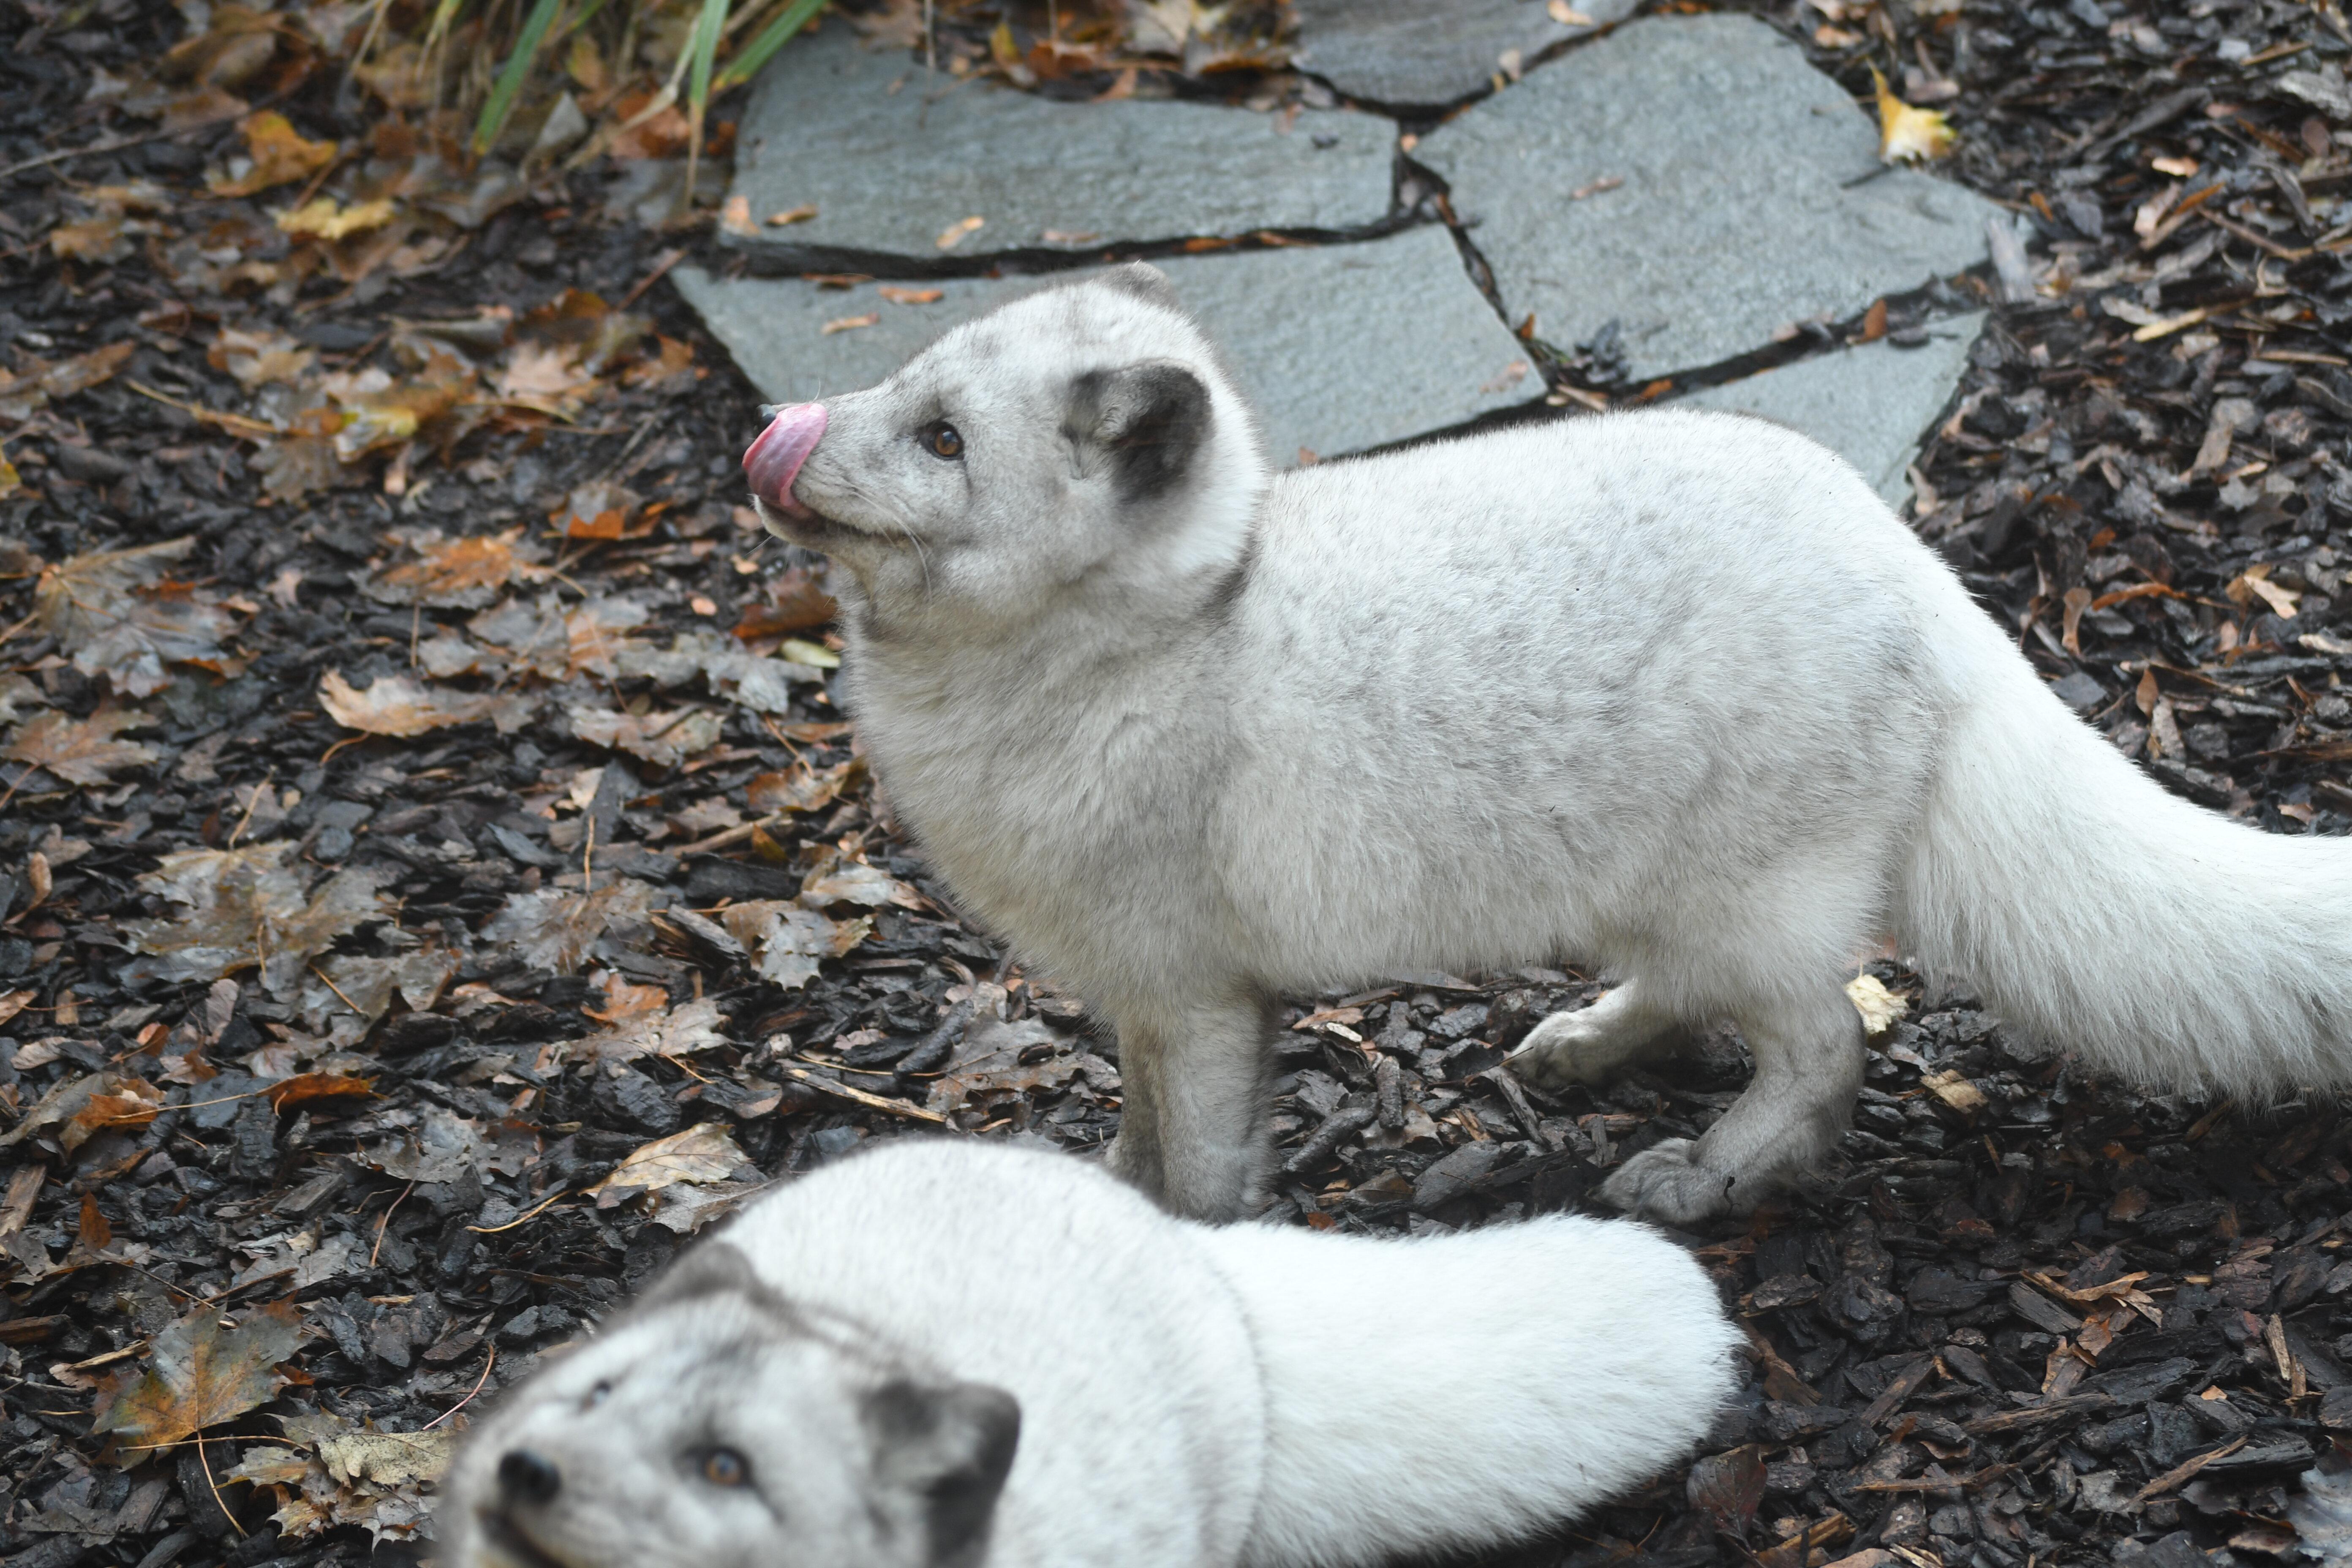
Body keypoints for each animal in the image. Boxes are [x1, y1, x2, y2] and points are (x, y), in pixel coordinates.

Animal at [741, 260, 2352, 1225]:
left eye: (943, 442)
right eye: (907, 387)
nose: (774, 429)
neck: (1172, 633)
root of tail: (1926, 579)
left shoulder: (1194, 993)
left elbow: (1196, 1174)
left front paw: (1182, 1258)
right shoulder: (1150, 1001)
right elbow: (1138, 1142)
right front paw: (1102, 1197)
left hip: (1746, 908)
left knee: (1826, 1047)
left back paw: (1706, 1177)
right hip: (1658, 899)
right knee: (1690, 998)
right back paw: (1579, 1048)